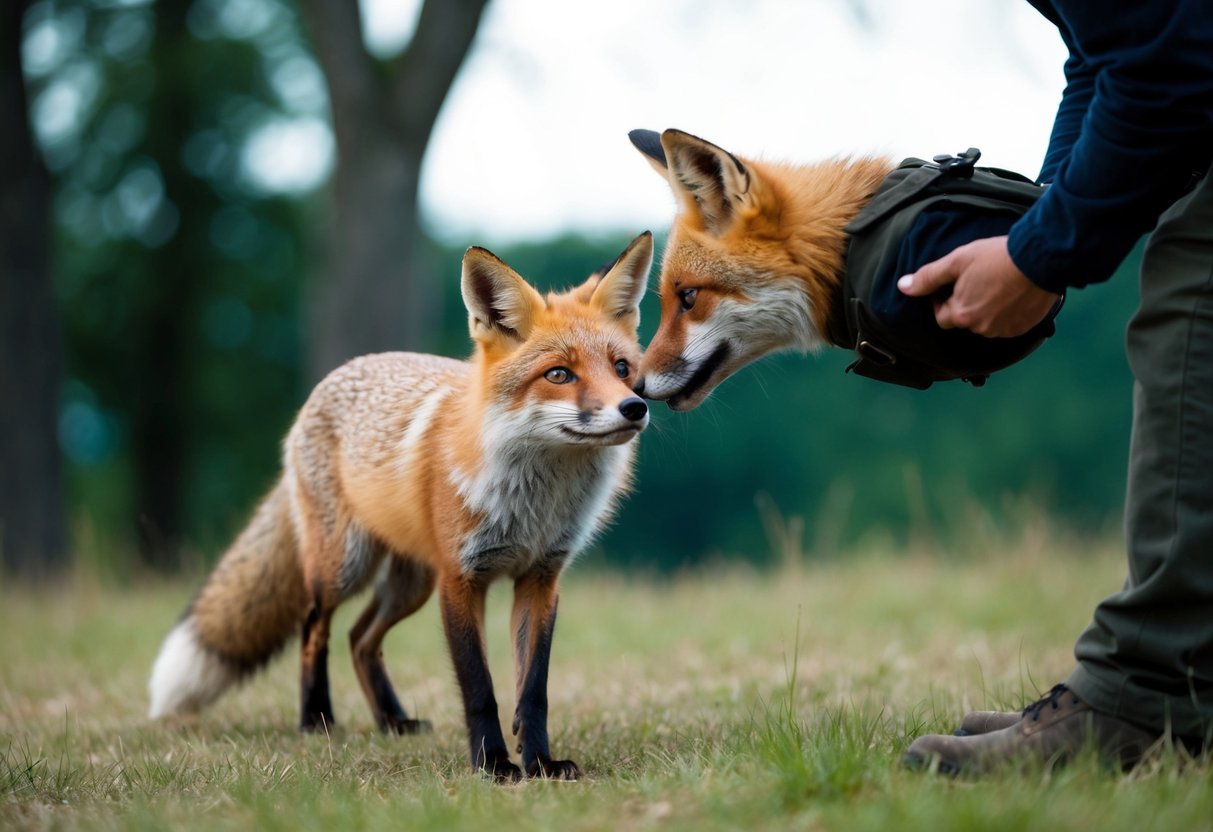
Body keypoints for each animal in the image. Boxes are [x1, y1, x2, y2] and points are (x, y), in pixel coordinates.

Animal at [147, 232, 654, 782]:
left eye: (622, 369)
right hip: (344, 567)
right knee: (314, 628)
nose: (634, 407)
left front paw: (539, 762)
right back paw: (316, 721)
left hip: (409, 583)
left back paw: (392, 721)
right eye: (559, 374)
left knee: (360, 638)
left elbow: (532, 691)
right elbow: (480, 689)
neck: (535, 504)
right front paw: (493, 765)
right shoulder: (460, 579)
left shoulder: (540, 578)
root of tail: (333, 377)